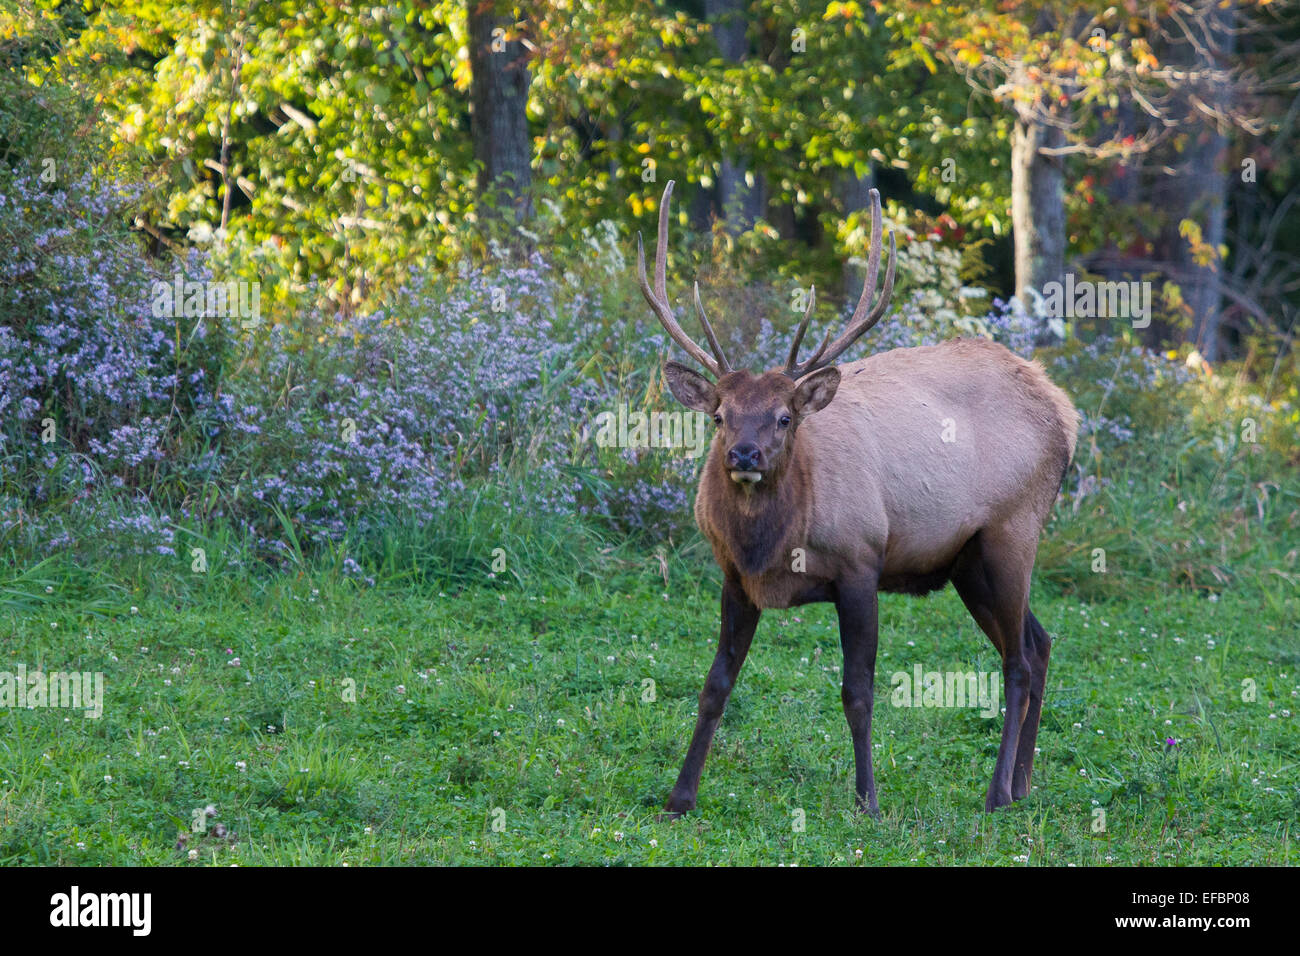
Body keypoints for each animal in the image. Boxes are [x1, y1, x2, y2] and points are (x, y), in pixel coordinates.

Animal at [637, 180, 1080, 817]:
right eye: (720, 415)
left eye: (785, 416)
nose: (744, 455)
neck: (773, 547)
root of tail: (1067, 414)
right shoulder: (734, 578)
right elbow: (715, 685)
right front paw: (679, 796)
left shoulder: (860, 562)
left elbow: (858, 692)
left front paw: (867, 799)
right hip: (967, 560)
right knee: (1039, 644)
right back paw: (1022, 784)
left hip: (1014, 528)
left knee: (1017, 660)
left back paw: (997, 793)